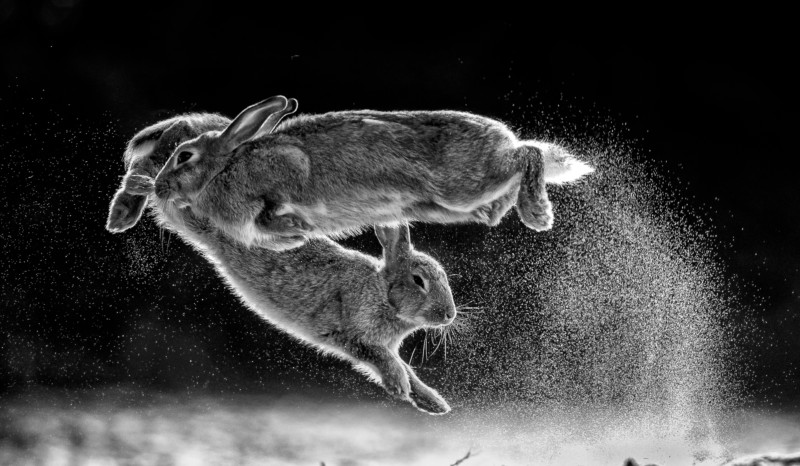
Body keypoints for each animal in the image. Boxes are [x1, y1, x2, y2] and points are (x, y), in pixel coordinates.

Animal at [107, 114, 456, 414]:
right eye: (419, 280)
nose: (449, 315)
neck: (382, 292)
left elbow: (408, 369)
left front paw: (433, 403)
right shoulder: (350, 334)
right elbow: (385, 360)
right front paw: (400, 387)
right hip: (187, 202)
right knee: (151, 169)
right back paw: (124, 210)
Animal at [153, 95, 594, 250]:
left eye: (184, 156)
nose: (158, 188)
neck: (225, 168)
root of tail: (502, 137)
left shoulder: (284, 168)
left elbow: (275, 204)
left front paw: (294, 223)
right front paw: (296, 233)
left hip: (461, 186)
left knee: (529, 154)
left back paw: (537, 214)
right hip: (457, 205)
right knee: (500, 198)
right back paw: (510, 209)